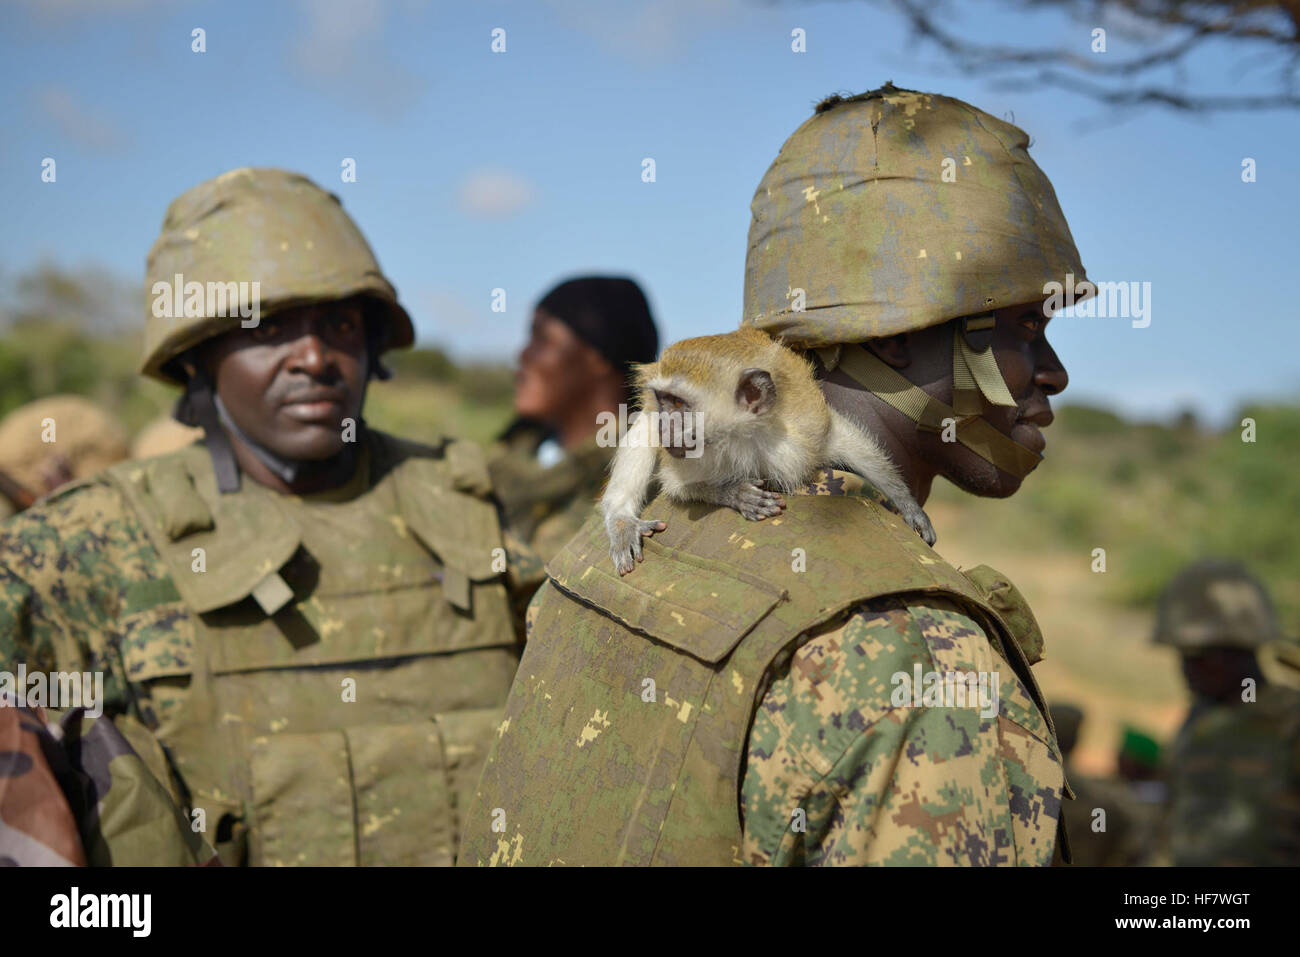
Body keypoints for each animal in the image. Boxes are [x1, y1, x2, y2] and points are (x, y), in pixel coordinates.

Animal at [601, 326, 936, 575]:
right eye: (663, 401)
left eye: (679, 404)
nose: (664, 427)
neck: (745, 435)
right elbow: (678, 486)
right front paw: (735, 492)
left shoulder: (801, 430)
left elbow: (840, 437)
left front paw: (906, 502)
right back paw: (621, 517)